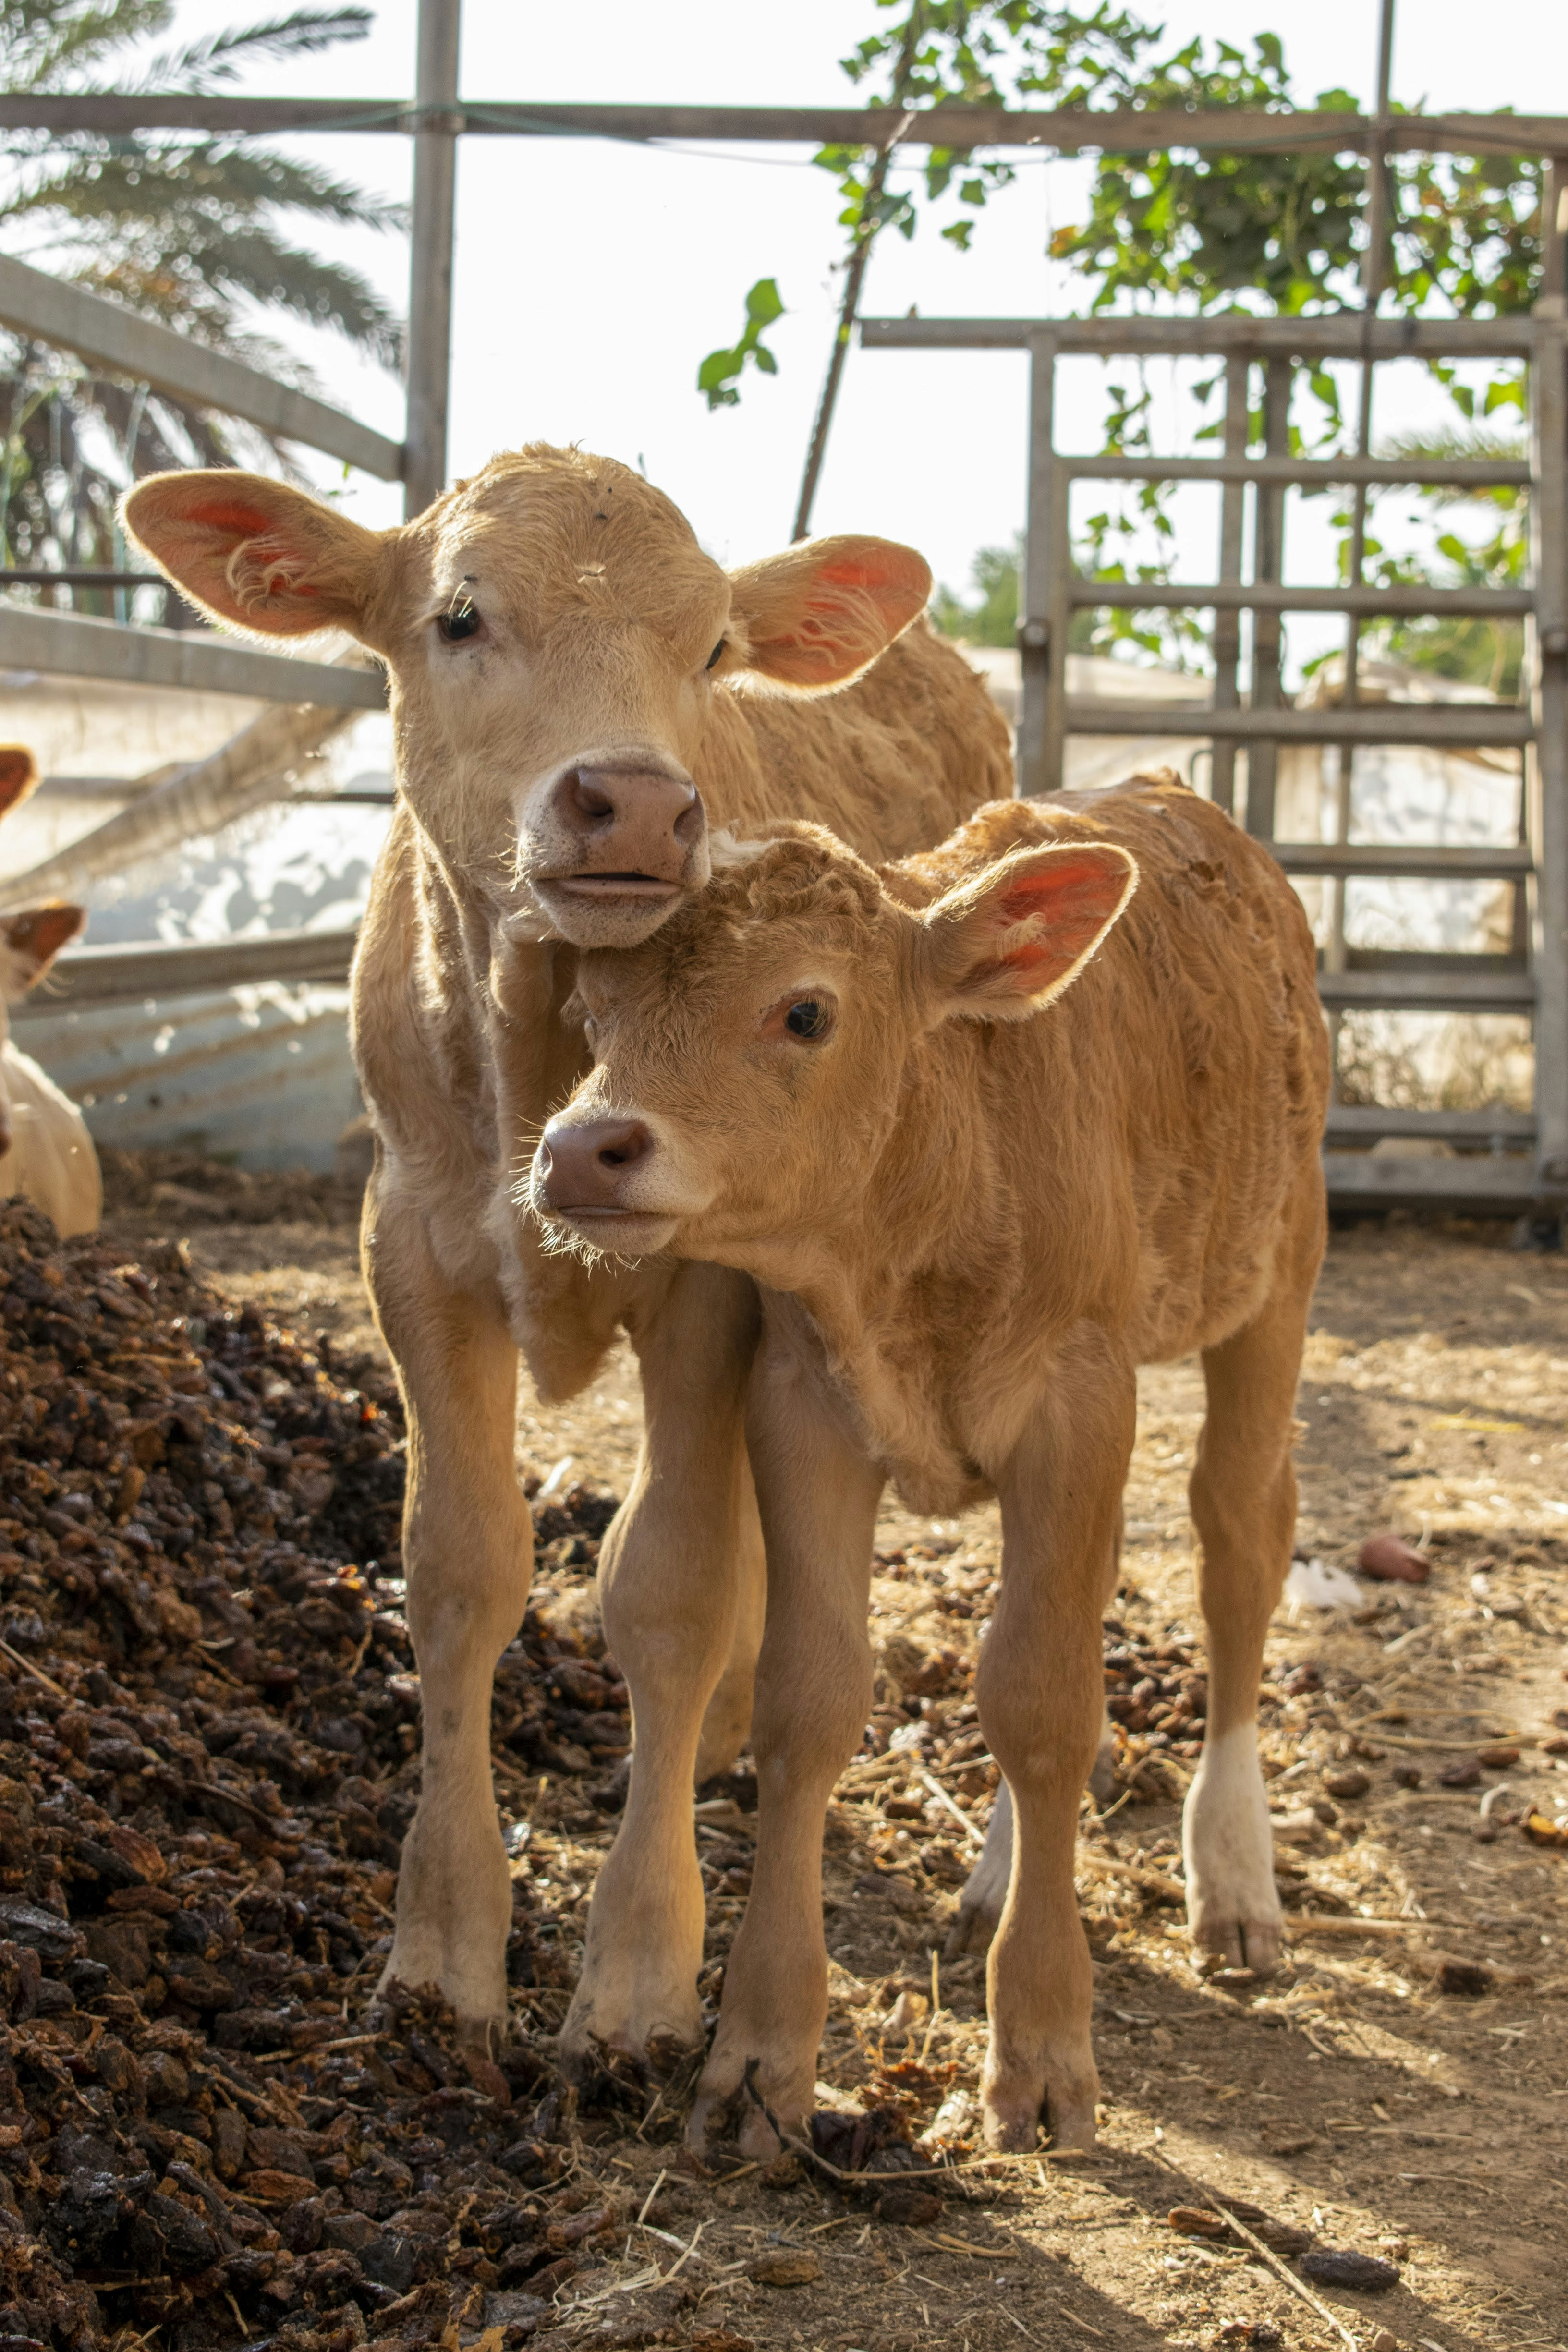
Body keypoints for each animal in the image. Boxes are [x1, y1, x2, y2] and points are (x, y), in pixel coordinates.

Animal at [122, 446, 1014, 2064]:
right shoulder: (411, 1250)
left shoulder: (714, 1287)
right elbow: (459, 1567)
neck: (540, 1037)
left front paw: (639, 1974)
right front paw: (444, 1948)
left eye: (713, 645)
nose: (640, 802)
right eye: (460, 614)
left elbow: (664, 1583)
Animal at [529, 777, 1329, 2154]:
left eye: (805, 1009)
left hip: (1279, 1266)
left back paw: (1232, 1870)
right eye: (593, 1013)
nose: (584, 1148)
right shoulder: (802, 1403)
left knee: (1236, 1541)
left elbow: (1045, 1704)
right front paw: (760, 2056)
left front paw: (1045, 2047)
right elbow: (813, 1701)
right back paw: (1007, 1868)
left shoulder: (1079, 1398)